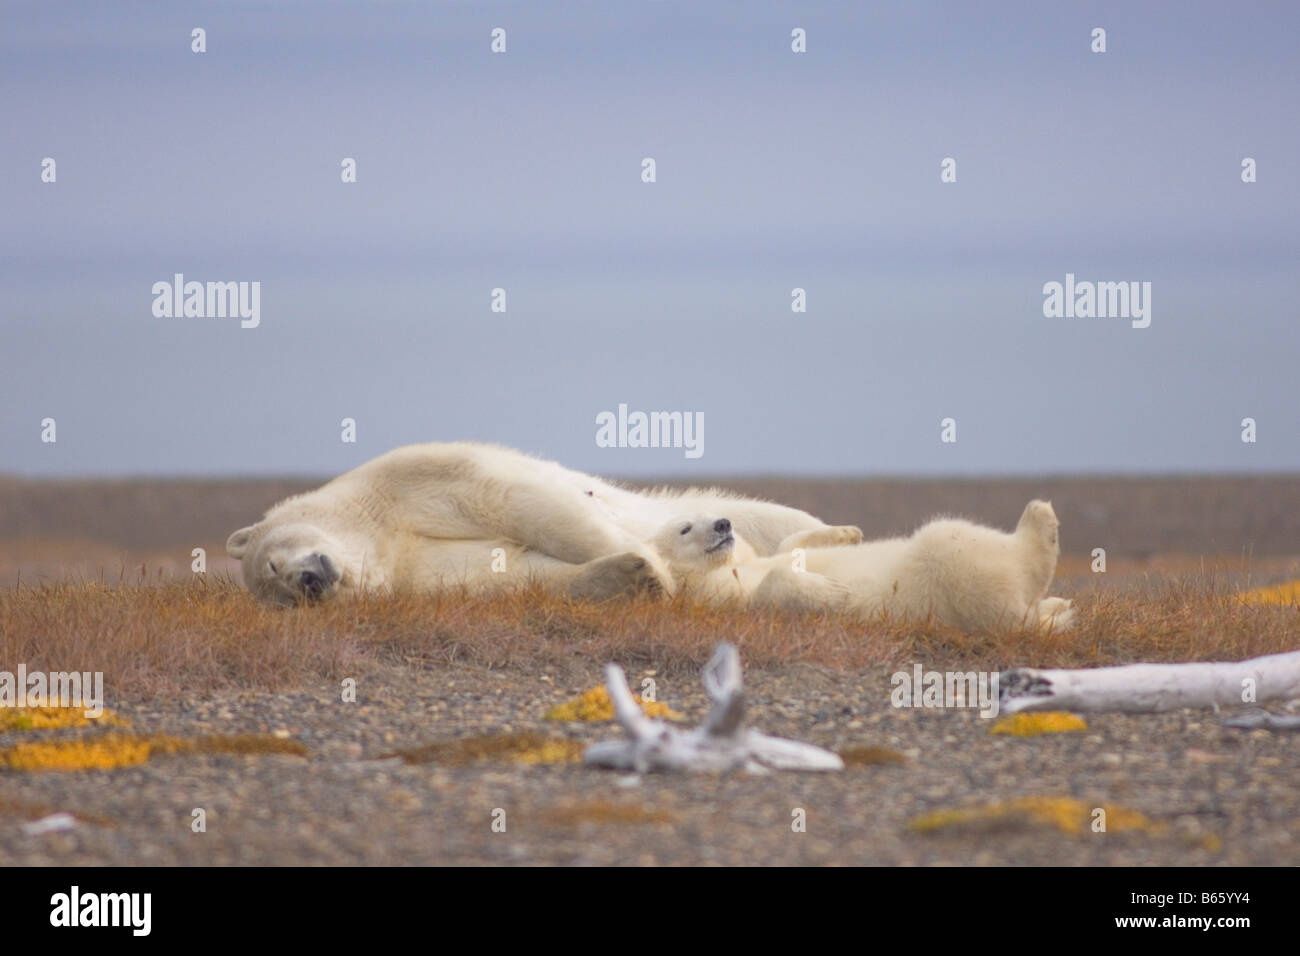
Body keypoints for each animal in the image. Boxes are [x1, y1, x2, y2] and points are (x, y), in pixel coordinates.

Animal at [225, 442, 847, 606]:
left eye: (273, 562)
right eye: (280, 594)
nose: (309, 581)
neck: (384, 538)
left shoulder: (403, 482)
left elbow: (518, 500)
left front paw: (660, 568)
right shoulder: (420, 575)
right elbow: (524, 574)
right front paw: (637, 574)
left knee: (763, 514)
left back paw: (840, 534)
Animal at [651, 501, 1076, 633]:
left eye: (712, 513)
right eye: (685, 527)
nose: (724, 524)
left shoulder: (749, 559)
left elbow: (787, 547)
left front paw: (846, 533)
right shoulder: (717, 597)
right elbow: (768, 590)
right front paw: (834, 591)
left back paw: (1059, 605)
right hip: (950, 585)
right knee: (954, 545)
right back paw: (1040, 520)